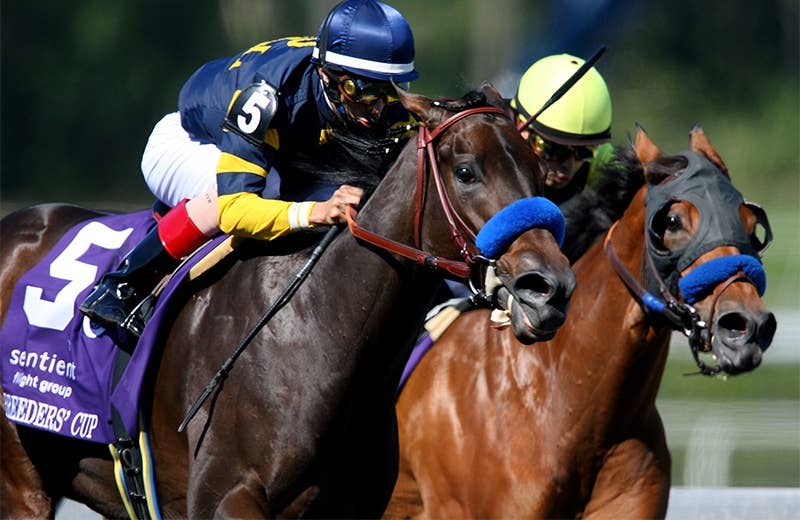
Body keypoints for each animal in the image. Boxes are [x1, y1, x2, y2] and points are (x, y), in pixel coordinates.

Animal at [0, 84, 577, 518]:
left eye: (539, 174)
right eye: (466, 171)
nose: (548, 287)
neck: (319, 336)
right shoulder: (226, 498)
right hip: (20, 484)